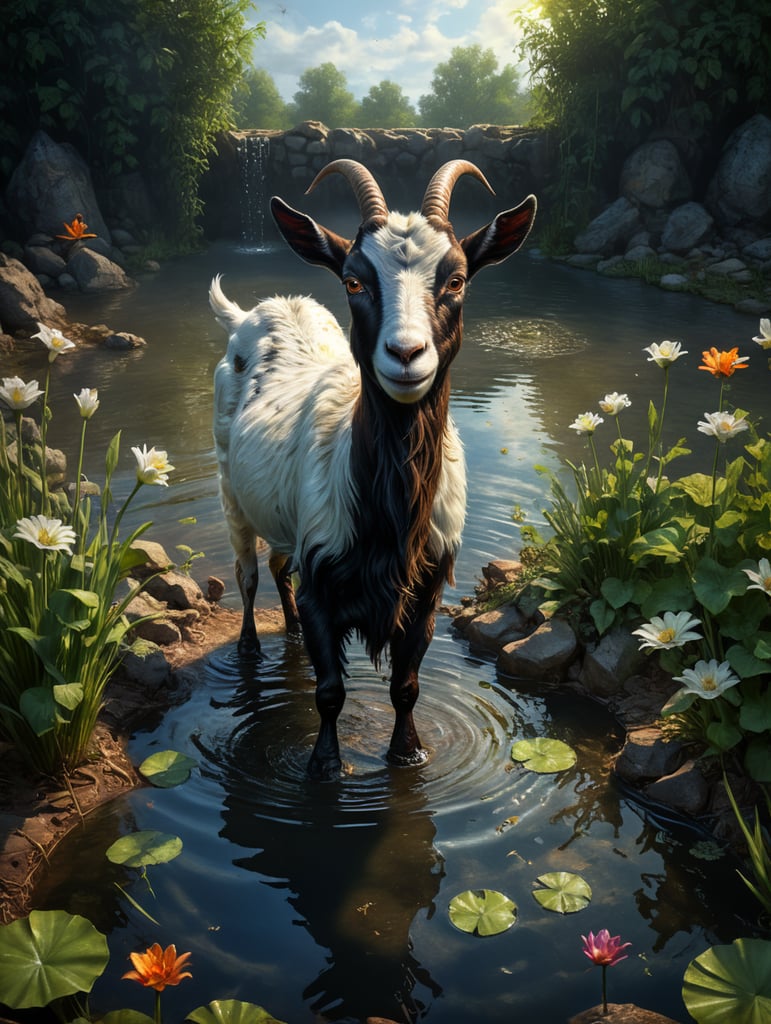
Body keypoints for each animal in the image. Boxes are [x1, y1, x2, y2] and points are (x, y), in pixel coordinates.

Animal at [211, 159, 536, 779]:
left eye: (457, 280)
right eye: (354, 281)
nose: (406, 355)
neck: (390, 522)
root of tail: (253, 312)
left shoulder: (426, 587)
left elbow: (406, 687)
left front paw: (407, 753)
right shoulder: (323, 578)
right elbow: (329, 691)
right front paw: (324, 767)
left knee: (279, 565)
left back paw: (287, 627)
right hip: (229, 484)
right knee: (247, 571)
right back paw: (249, 645)